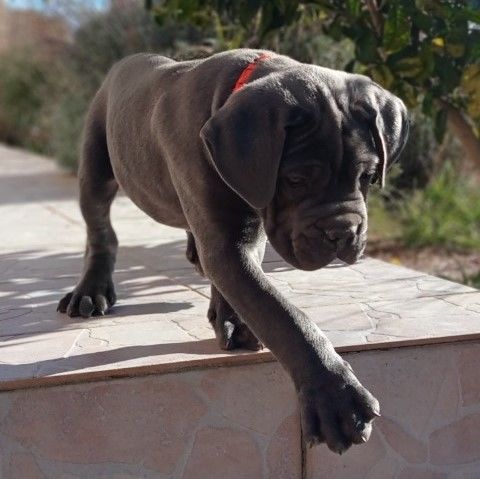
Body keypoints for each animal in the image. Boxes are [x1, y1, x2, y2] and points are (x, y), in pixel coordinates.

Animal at [57, 50, 408, 456]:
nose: (342, 232)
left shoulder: (241, 233)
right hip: (96, 163)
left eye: (367, 177)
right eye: (295, 179)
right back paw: (91, 290)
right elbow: (280, 312)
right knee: (101, 231)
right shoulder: (227, 241)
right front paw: (336, 397)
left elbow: (246, 288)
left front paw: (232, 320)